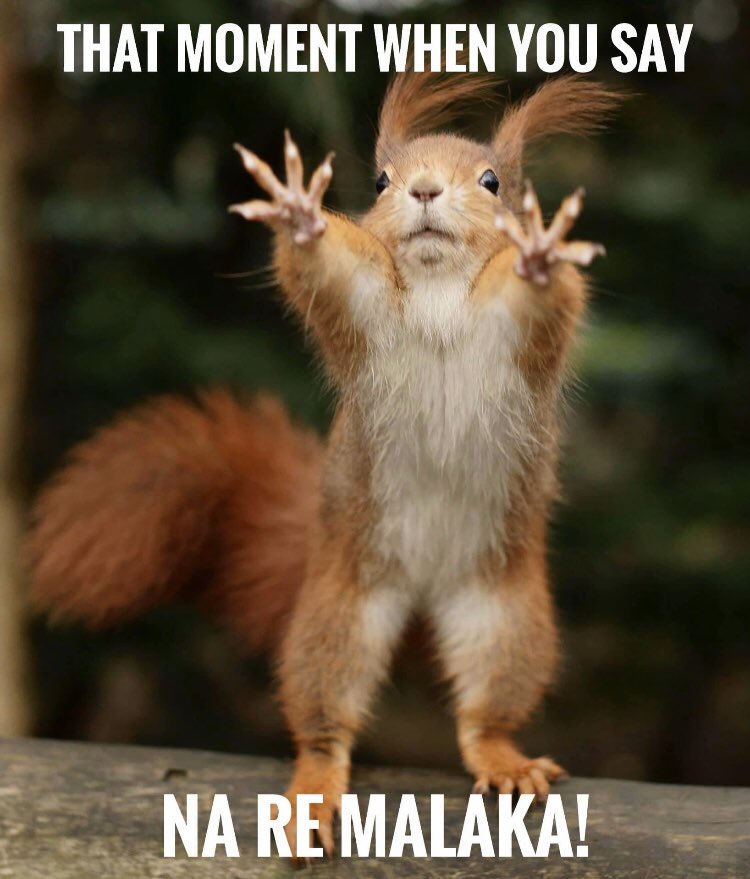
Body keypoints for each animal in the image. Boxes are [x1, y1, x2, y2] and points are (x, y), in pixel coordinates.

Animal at [26, 71, 622, 855]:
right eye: (382, 179)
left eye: (492, 181)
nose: (424, 190)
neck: (438, 290)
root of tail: (424, 588)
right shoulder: (366, 307)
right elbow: (329, 271)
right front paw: (301, 216)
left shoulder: (519, 335)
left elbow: (543, 298)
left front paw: (542, 256)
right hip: (338, 612)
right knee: (323, 717)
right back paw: (314, 786)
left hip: (507, 615)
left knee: (484, 713)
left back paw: (504, 757)